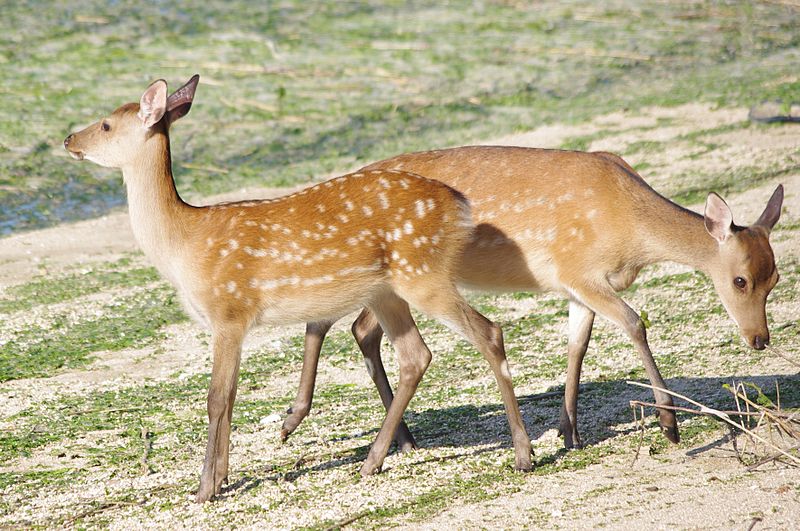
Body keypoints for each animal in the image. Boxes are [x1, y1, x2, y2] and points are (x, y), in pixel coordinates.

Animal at [63, 77, 533, 503]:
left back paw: (522, 455)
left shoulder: (228, 310)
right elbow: (231, 397)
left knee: (487, 332)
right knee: (414, 354)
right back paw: (373, 459)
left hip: (422, 273)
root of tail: (460, 205)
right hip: (388, 289)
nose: (69, 138)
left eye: (105, 124)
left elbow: (217, 397)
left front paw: (204, 489)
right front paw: (221, 479)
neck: (183, 245)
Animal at [280, 145, 784, 451]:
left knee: (359, 328)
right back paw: (296, 420)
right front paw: (668, 424)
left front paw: (568, 431)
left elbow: (577, 345)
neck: (629, 232)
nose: (759, 338)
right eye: (740, 280)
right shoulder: (578, 269)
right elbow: (635, 323)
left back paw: (401, 438)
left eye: (776, 277)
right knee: (326, 320)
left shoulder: (576, 287)